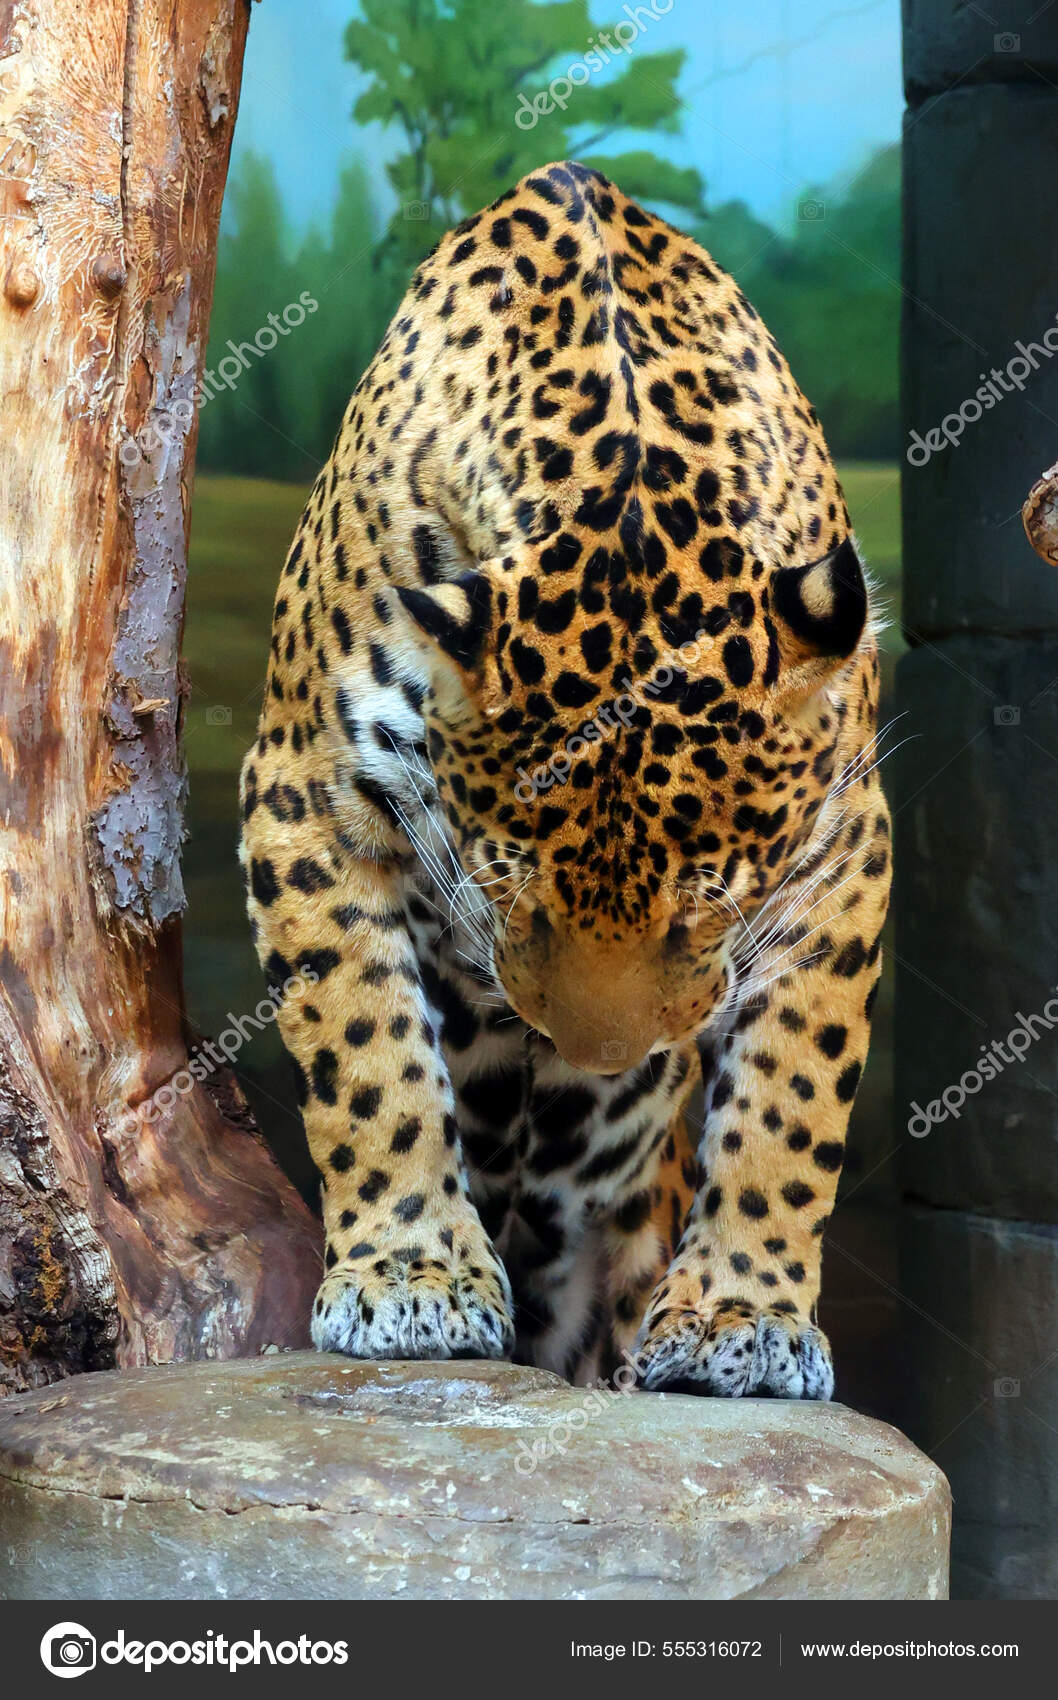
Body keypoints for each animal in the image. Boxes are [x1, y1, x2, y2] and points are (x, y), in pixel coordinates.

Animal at [238, 160, 890, 1398]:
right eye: (506, 898)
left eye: (706, 913)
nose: (599, 1061)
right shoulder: (308, 791)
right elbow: (366, 1050)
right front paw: (411, 1273)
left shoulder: (844, 848)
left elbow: (793, 1096)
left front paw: (743, 1311)